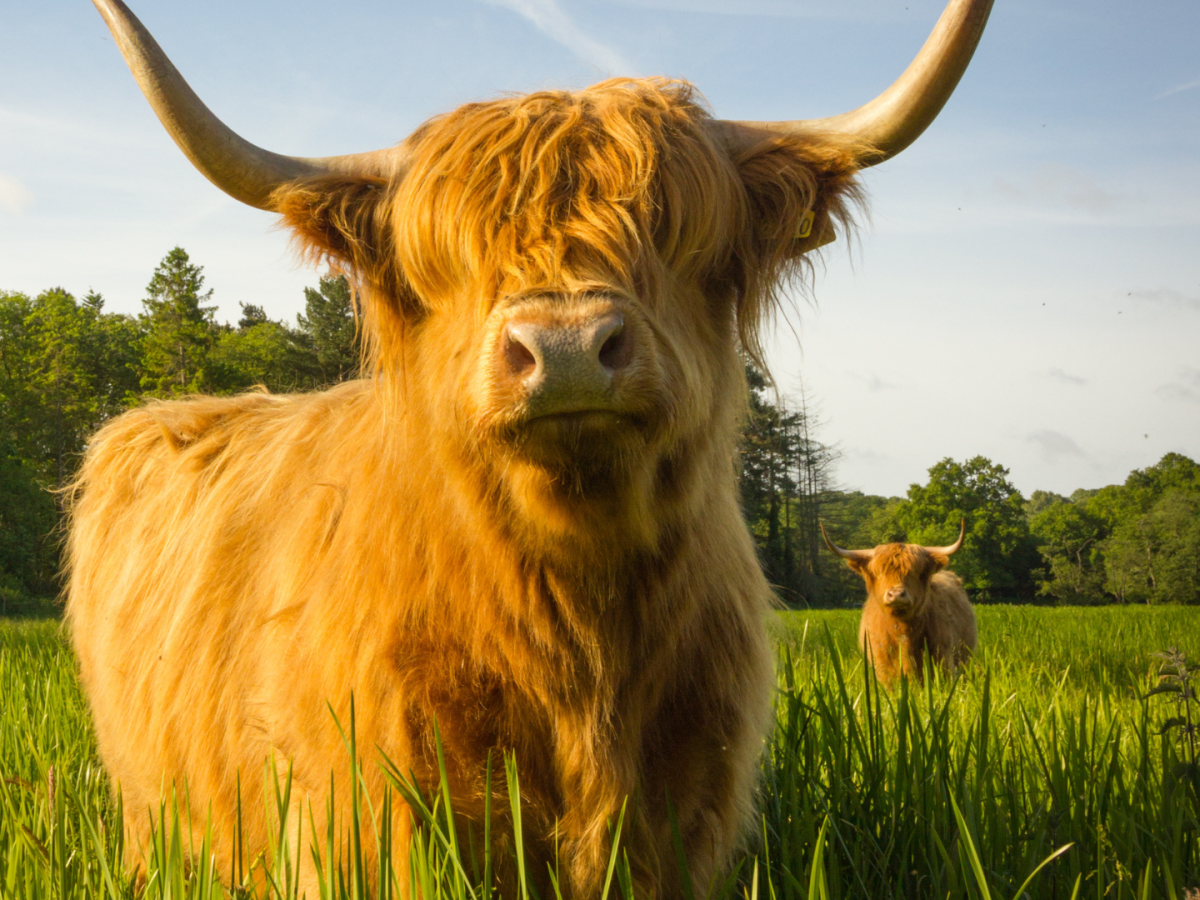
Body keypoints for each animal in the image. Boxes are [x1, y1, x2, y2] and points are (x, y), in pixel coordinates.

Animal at [821, 522, 978, 686]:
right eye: (878, 572)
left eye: (916, 572)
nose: (896, 594)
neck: (903, 633)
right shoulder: (883, 669)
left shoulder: (944, 661)